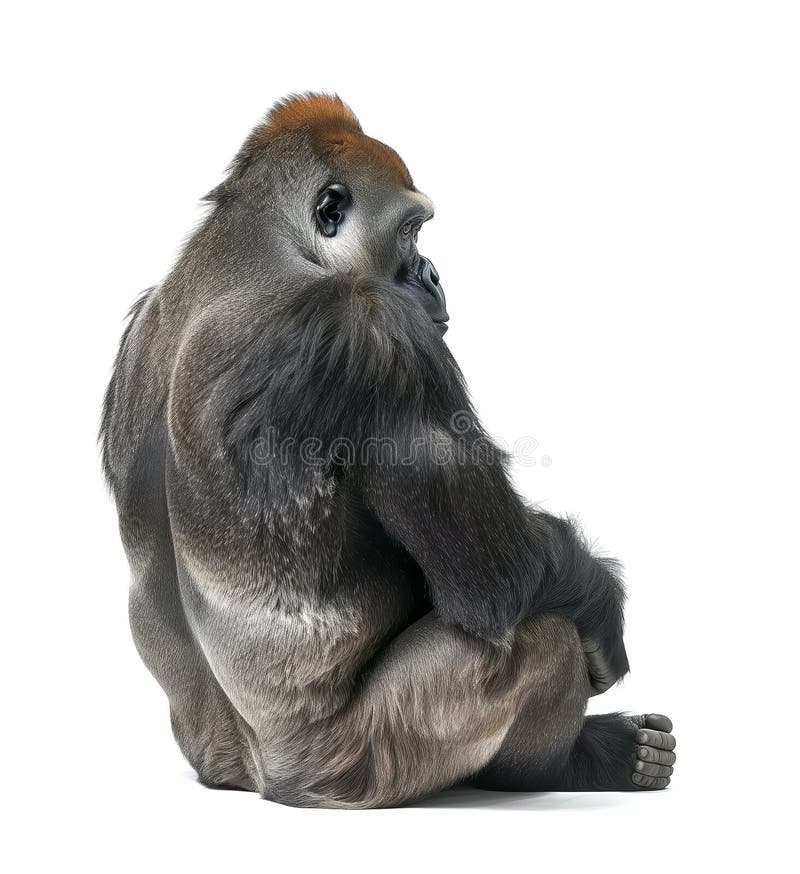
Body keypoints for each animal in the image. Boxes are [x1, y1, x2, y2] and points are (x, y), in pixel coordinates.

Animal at [101, 93, 676, 808]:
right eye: (411, 231)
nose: (434, 275)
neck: (254, 244)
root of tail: (262, 777)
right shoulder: (378, 330)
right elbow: (502, 582)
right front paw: (601, 606)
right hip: (359, 766)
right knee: (539, 634)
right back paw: (566, 765)